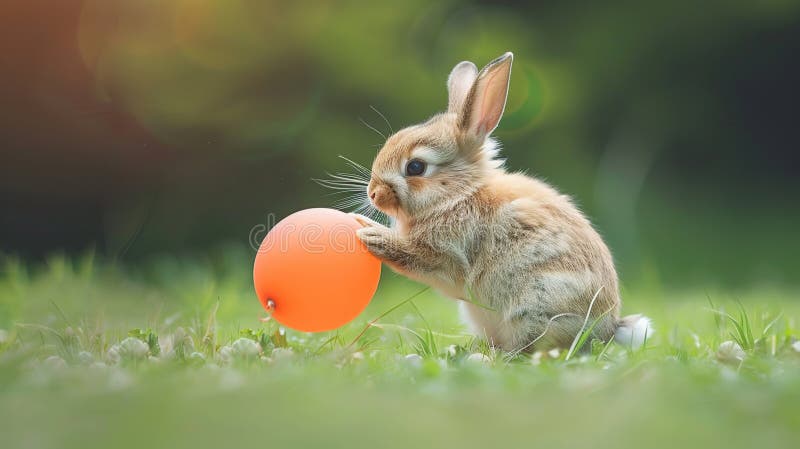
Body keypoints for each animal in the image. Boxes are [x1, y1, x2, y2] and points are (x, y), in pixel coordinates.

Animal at [351, 52, 651, 353]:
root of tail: (608, 329)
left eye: (415, 167)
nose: (373, 193)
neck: (458, 195)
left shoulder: (448, 251)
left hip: (535, 305)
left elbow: (417, 257)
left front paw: (372, 235)